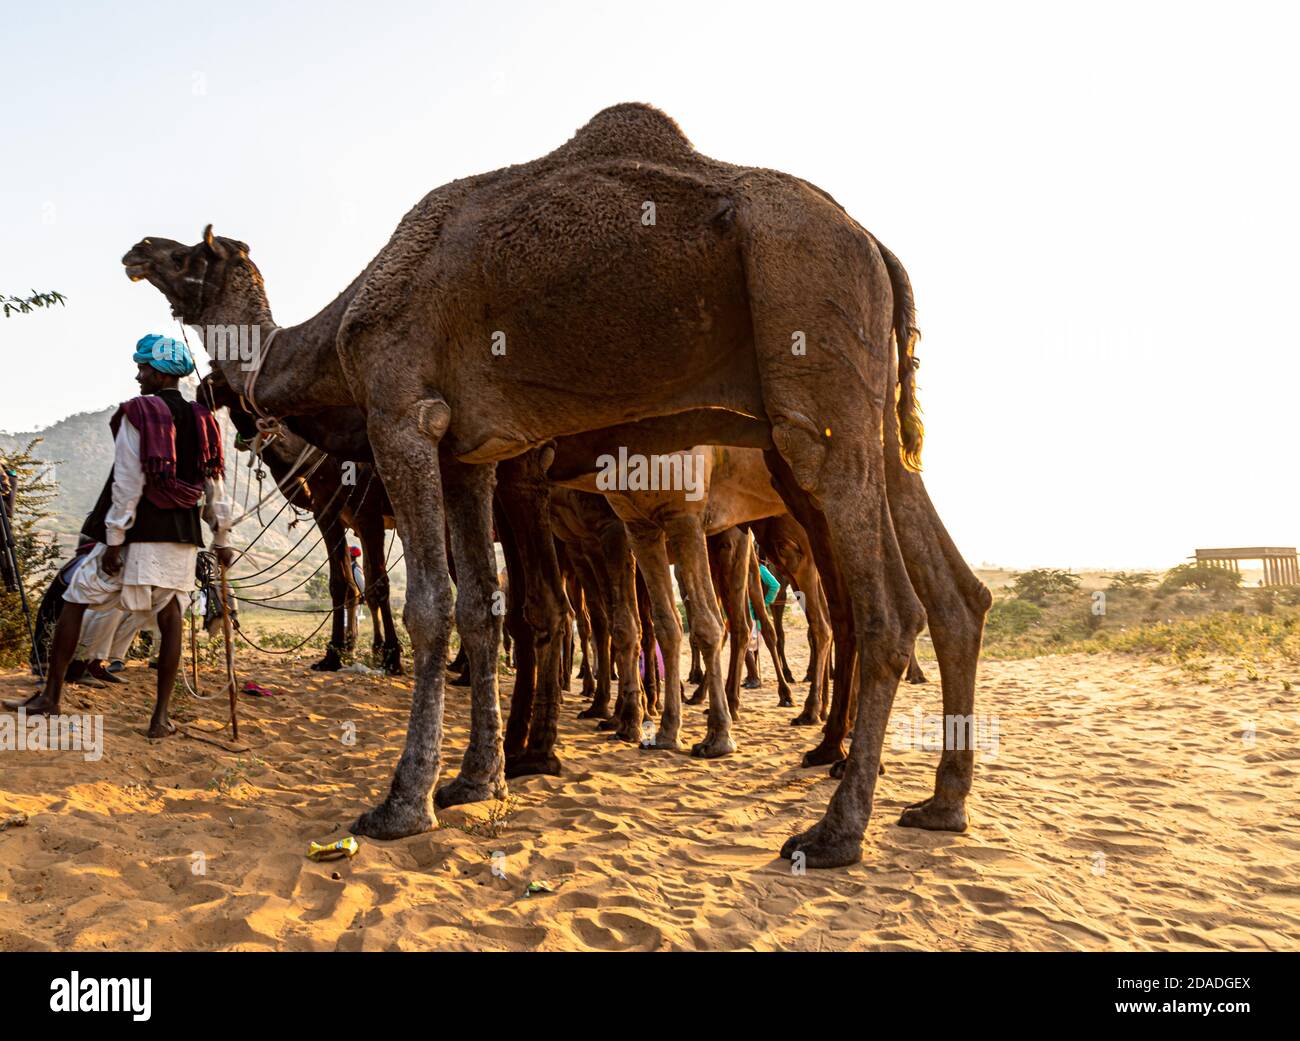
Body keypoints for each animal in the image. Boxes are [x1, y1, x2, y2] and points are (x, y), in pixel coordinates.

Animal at [123, 102, 988, 868]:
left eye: (193, 256)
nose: (135, 248)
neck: (337, 333)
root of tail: (874, 245)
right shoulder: (471, 454)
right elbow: (483, 607)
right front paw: (477, 778)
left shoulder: (405, 415)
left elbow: (434, 603)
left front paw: (406, 801)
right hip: (869, 407)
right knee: (954, 591)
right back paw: (939, 802)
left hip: (810, 347)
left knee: (882, 608)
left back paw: (835, 828)